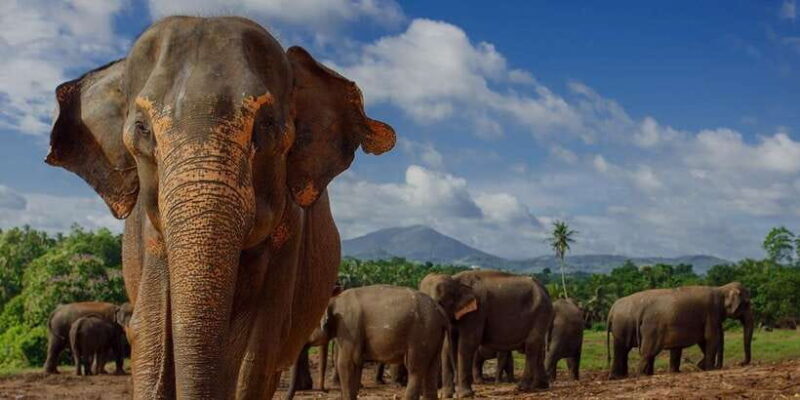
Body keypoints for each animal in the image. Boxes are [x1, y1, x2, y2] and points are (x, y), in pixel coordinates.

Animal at [45, 16, 395, 399]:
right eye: (142, 129)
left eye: (266, 126)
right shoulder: (148, 234)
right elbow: (150, 333)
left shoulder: (290, 235)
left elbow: (255, 348)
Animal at [420, 270, 554, 398]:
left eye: (440, 303)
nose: (455, 386)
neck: (455, 280)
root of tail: (545, 289)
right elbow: (447, 346)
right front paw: (446, 395)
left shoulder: (477, 312)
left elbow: (468, 343)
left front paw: (464, 395)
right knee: (538, 347)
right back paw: (540, 386)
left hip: (540, 313)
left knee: (532, 346)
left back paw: (521, 387)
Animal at [607, 282, 753, 379]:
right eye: (747, 303)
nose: (741, 363)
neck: (721, 289)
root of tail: (612, 310)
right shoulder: (711, 313)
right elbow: (710, 338)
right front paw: (709, 369)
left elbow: (700, 341)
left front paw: (695, 368)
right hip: (639, 328)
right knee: (644, 352)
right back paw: (637, 376)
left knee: (624, 350)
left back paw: (623, 376)